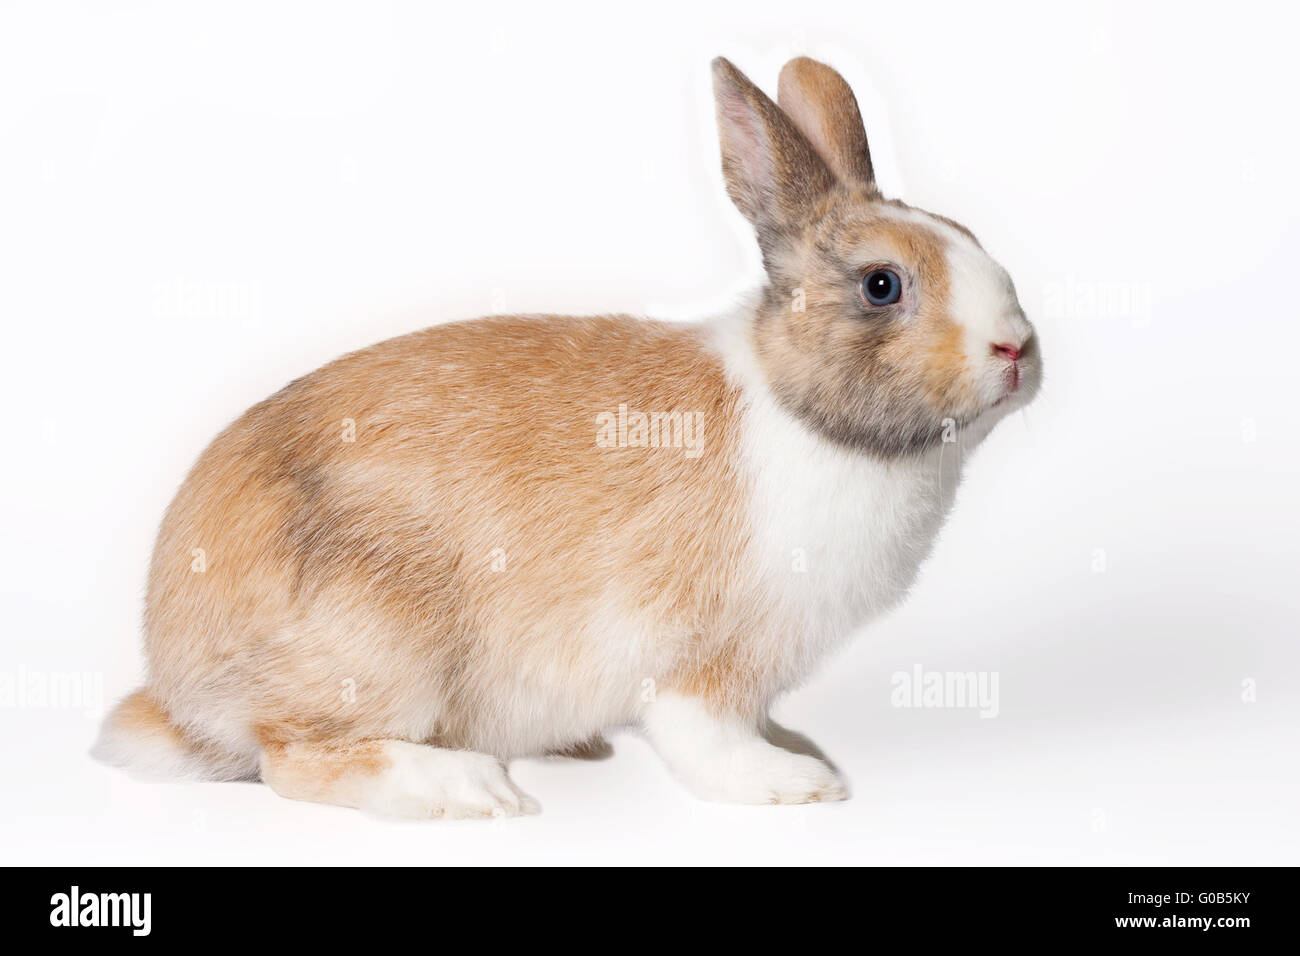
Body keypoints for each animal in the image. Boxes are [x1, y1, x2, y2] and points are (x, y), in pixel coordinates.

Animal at [93, 56, 1040, 818]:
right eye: (883, 285)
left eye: (974, 242)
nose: (1019, 350)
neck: (797, 409)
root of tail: (172, 689)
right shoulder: (695, 657)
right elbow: (706, 735)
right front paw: (795, 784)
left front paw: (801, 751)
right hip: (378, 644)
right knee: (293, 757)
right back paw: (469, 788)